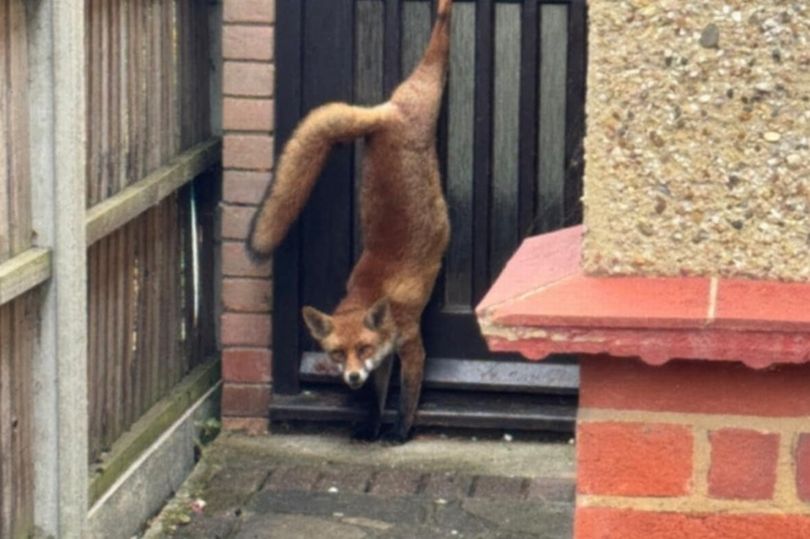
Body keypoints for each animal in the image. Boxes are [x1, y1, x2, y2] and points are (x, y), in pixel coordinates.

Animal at [247, 0, 453, 441]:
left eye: (364, 349)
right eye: (339, 353)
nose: (353, 378)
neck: (373, 296)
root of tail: (383, 116)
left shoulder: (412, 345)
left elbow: (407, 400)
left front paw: (399, 435)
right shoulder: (388, 358)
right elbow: (378, 396)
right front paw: (372, 427)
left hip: (429, 90)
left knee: (437, 50)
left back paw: (445, 11)